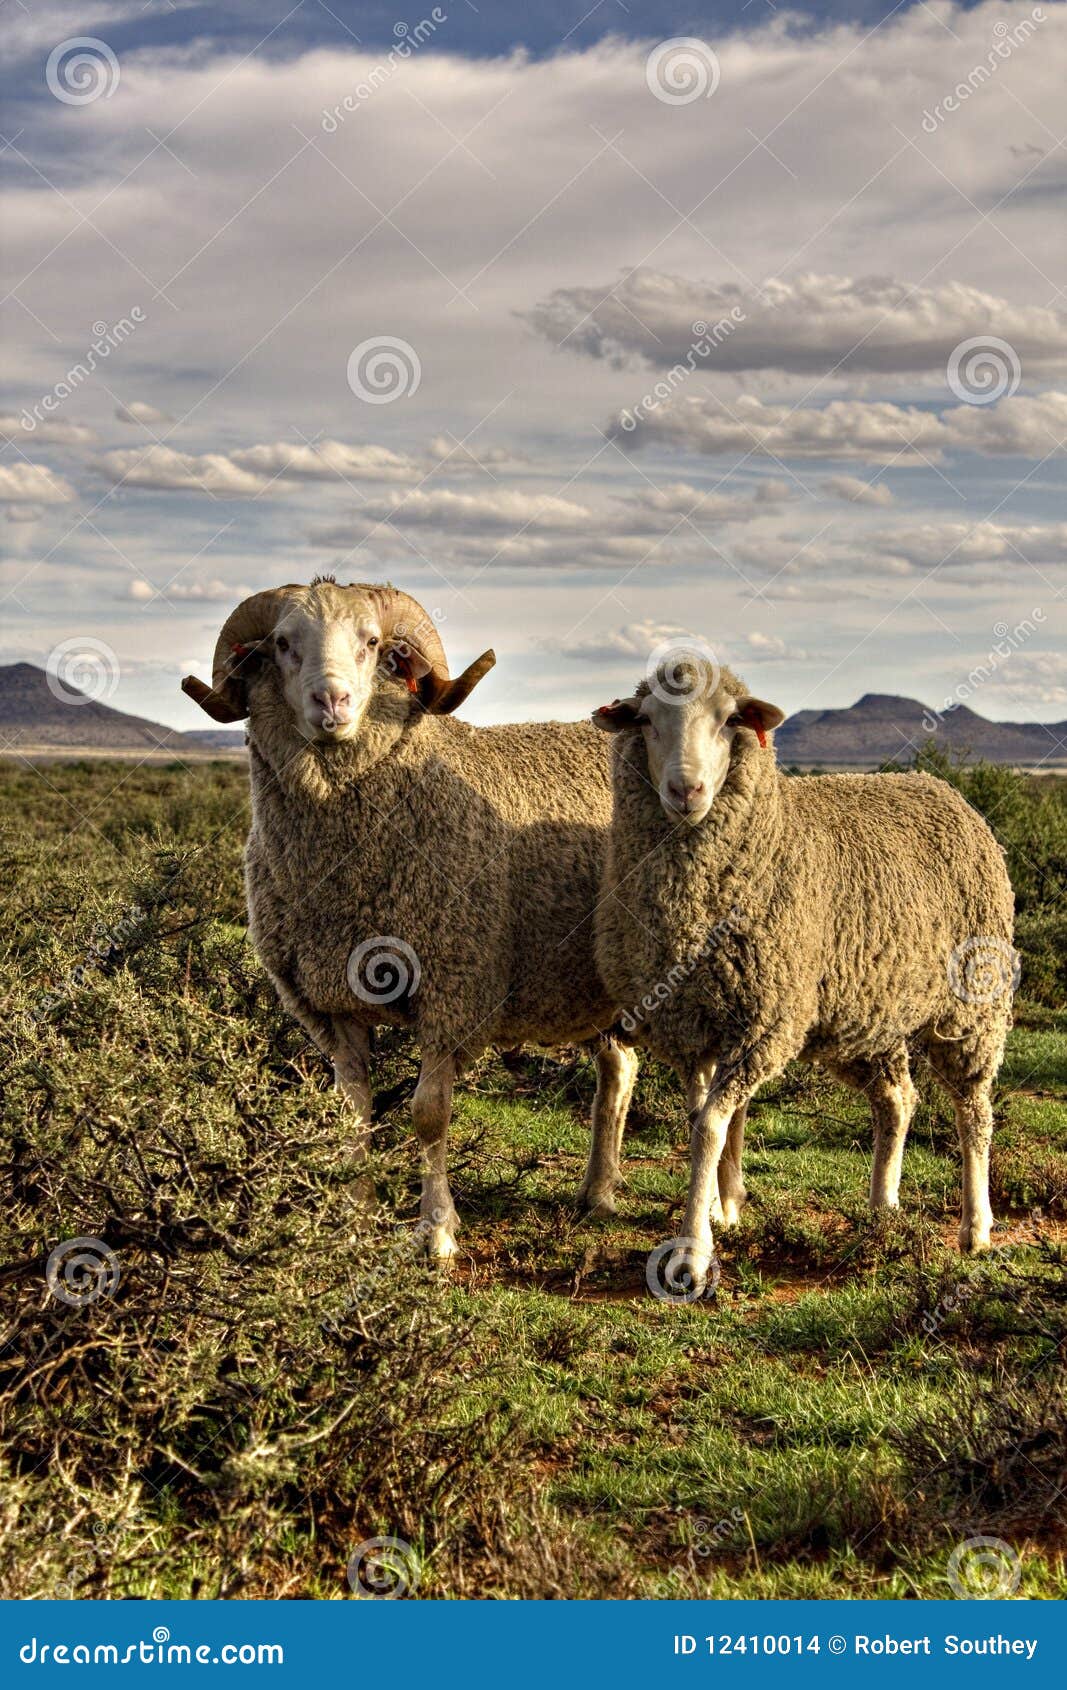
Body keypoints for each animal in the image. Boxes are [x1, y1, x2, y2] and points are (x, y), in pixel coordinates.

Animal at [182, 577, 637, 1258]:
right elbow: (354, 1111)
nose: (332, 700)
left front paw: (437, 1230)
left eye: (373, 644)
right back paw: (597, 1192)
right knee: (618, 1068)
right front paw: (354, 1218)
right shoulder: (330, 1005)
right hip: (586, 988)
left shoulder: (453, 991)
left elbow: (428, 1115)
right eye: (282, 644)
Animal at [593, 654, 1016, 1295]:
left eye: (730, 719)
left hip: (971, 1006)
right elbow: (703, 1120)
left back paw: (976, 1227)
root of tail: (941, 788)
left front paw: (693, 1250)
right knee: (898, 1100)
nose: (686, 790)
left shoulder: (763, 1024)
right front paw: (718, 1210)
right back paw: (882, 1211)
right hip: (870, 1016)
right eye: (643, 720)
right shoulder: (694, 1027)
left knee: (974, 1112)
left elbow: (710, 1127)